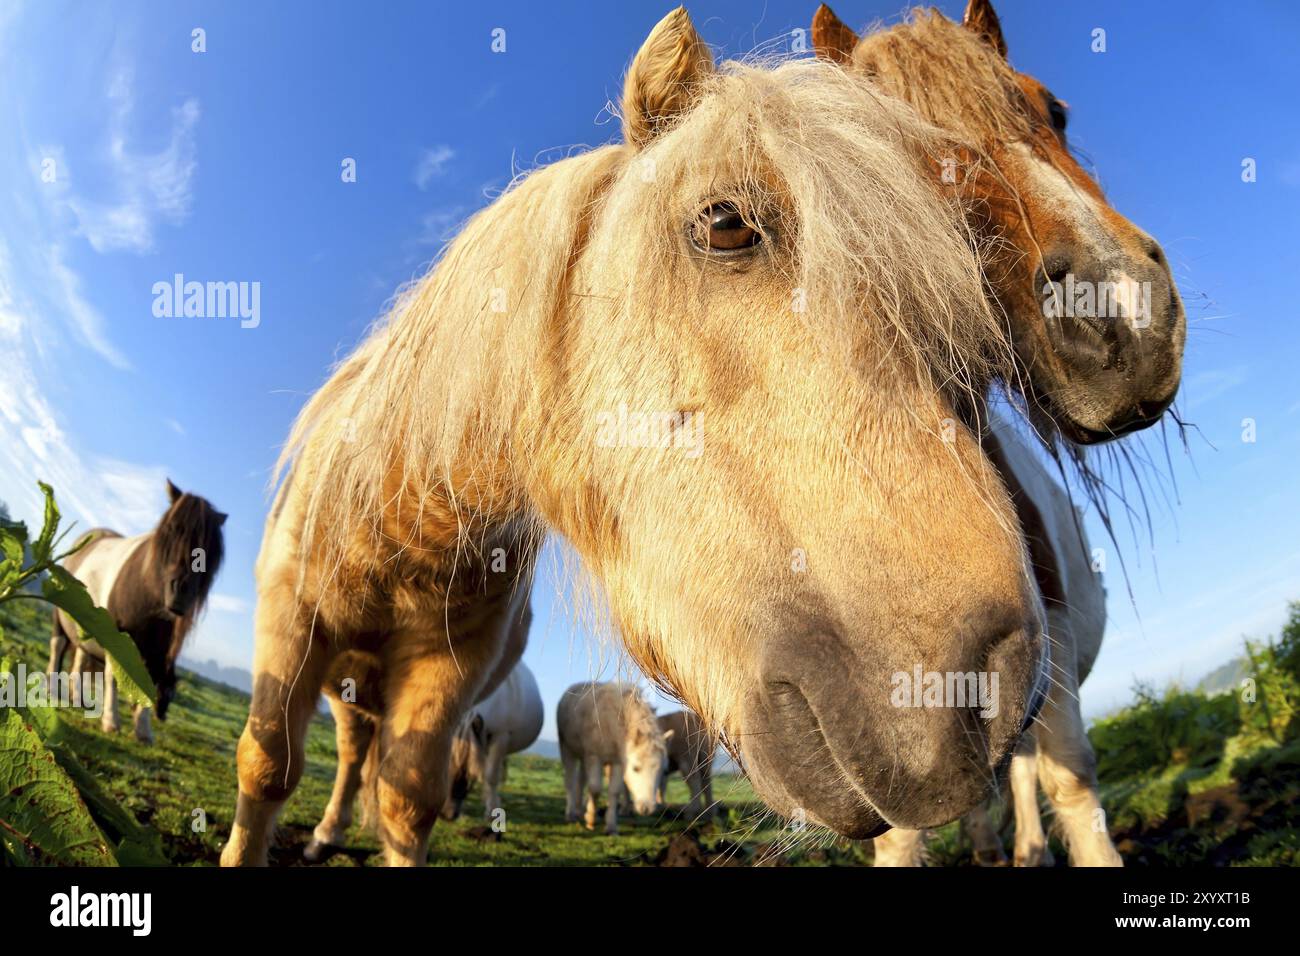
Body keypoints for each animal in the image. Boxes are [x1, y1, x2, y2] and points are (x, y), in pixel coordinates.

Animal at [46, 479, 226, 743]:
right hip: (60, 615)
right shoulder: (118, 637)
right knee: (58, 646)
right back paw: (51, 689)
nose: (181, 593)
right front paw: (111, 722)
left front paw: (143, 730)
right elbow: (113, 676)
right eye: (172, 529)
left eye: (211, 549)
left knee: (80, 654)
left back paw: (77, 698)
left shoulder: (160, 652)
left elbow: (151, 680)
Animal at [557, 682, 669, 835]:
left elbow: (614, 792)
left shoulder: (617, 762)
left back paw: (579, 811)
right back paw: (571, 814)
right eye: (636, 768)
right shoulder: (594, 756)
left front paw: (611, 827)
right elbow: (595, 789)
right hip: (567, 749)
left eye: (662, 771)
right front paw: (590, 819)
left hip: (584, 756)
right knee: (569, 780)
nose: (647, 808)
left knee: (580, 781)